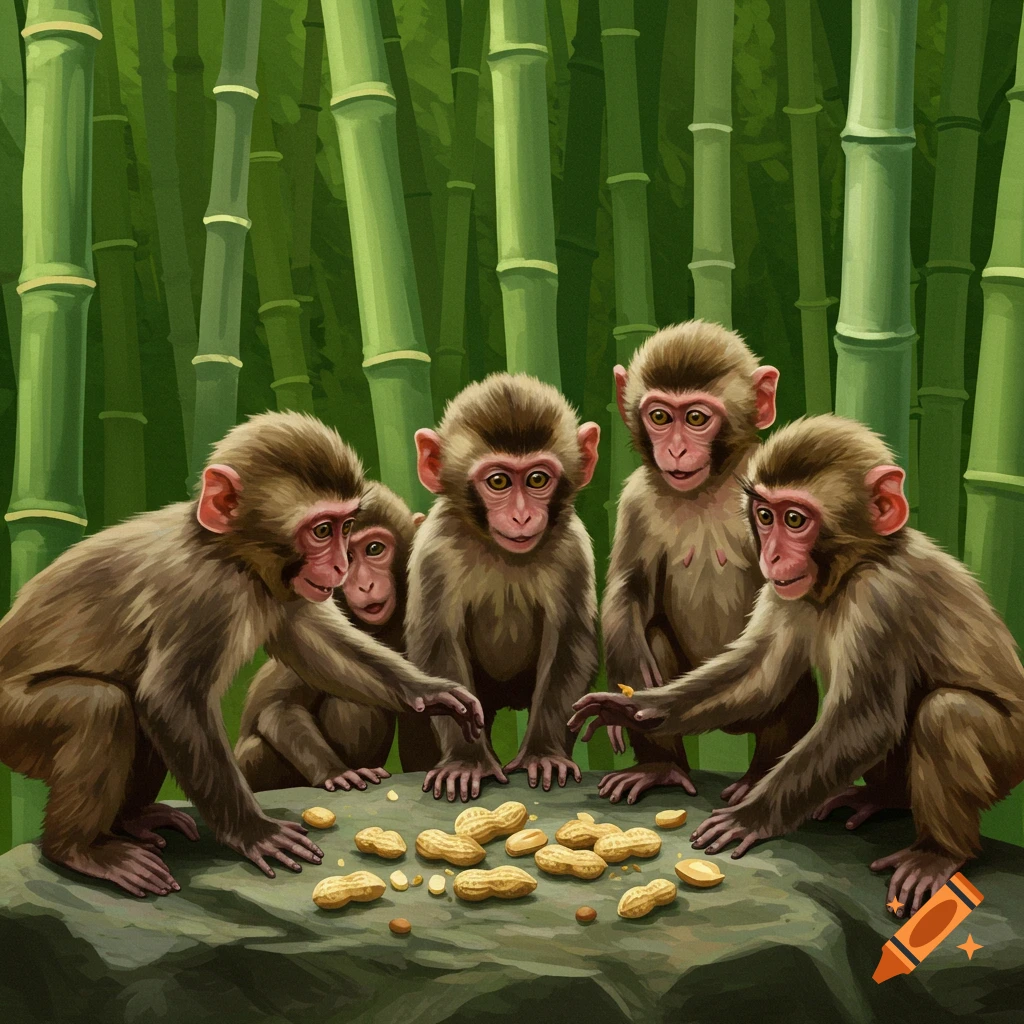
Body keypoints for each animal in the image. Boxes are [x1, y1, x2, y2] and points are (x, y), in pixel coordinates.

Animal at [234, 482, 438, 792]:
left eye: (374, 549)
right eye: (349, 557)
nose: (365, 584)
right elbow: (280, 707)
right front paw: (336, 772)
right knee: (353, 704)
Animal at [406, 372, 601, 802]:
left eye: (537, 479)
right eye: (498, 481)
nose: (522, 515)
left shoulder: (572, 550)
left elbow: (568, 643)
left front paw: (544, 754)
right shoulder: (434, 550)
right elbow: (439, 647)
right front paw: (466, 762)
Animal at [569, 414, 1024, 915]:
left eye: (794, 519)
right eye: (765, 517)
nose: (772, 554)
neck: (853, 567)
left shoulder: (881, 598)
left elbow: (863, 719)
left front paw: (751, 816)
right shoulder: (784, 590)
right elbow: (759, 671)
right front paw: (630, 709)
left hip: (1010, 753)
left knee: (947, 714)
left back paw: (939, 853)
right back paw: (882, 798)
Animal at [598, 320, 818, 804]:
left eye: (696, 418)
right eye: (661, 417)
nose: (677, 451)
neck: (709, 487)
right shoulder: (636, 497)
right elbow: (629, 588)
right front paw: (629, 662)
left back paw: (757, 777)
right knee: (655, 639)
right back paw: (660, 766)